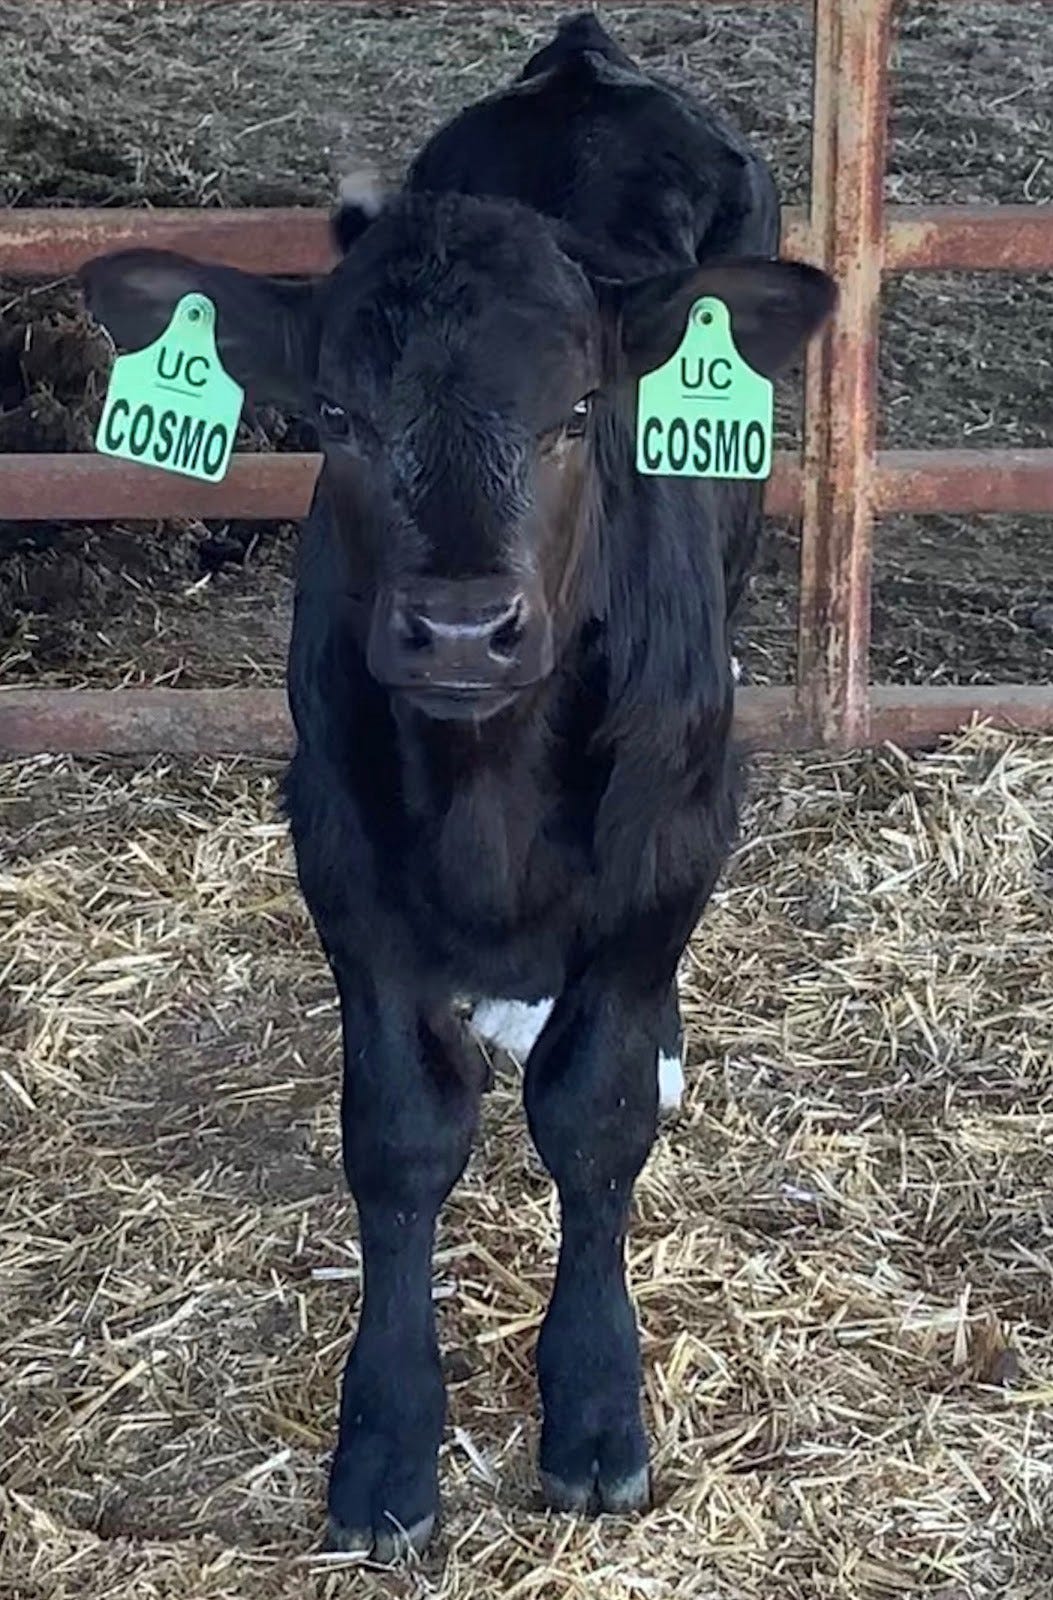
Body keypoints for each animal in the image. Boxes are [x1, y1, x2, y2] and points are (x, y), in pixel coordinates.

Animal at [80, 11, 835, 1560]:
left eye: (578, 414)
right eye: (338, 418)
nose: (460, 628)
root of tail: (590, 64)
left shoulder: (677, 830)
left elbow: (593, 1111)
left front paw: (595, 1406)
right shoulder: (340, 848)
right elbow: (401, 1135)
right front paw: (385, 1439)